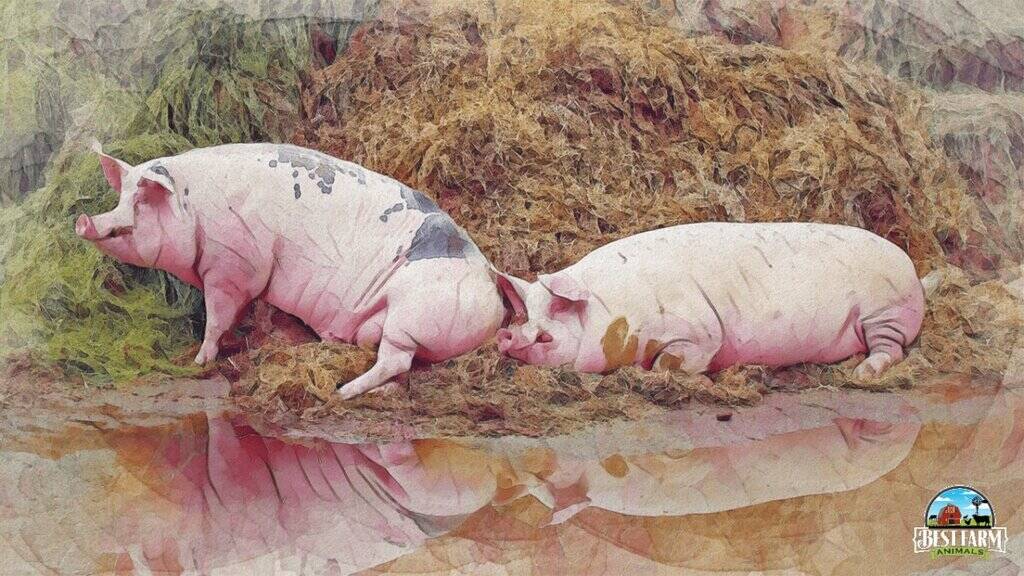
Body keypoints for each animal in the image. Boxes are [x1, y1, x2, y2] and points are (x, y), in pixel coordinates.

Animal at [76, 142, 504, 398]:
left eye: (142, 201)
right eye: (121, 197)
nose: (83, 220)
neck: (194, 209)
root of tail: (495, 291)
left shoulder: (233, 265)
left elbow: (217, 318)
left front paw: (199, 361)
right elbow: (231, 320)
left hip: (411, 313)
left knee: (396, 360)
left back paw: (342, 392)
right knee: (402, 370)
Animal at [496, 222, 924, 380]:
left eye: (548, 332)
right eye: (523, 316)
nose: (506, 336)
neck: (613, 310)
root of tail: (916, 274)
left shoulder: (699, 332)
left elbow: (673, 361)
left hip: (885, 313)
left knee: (892, 350)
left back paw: (862, 373)